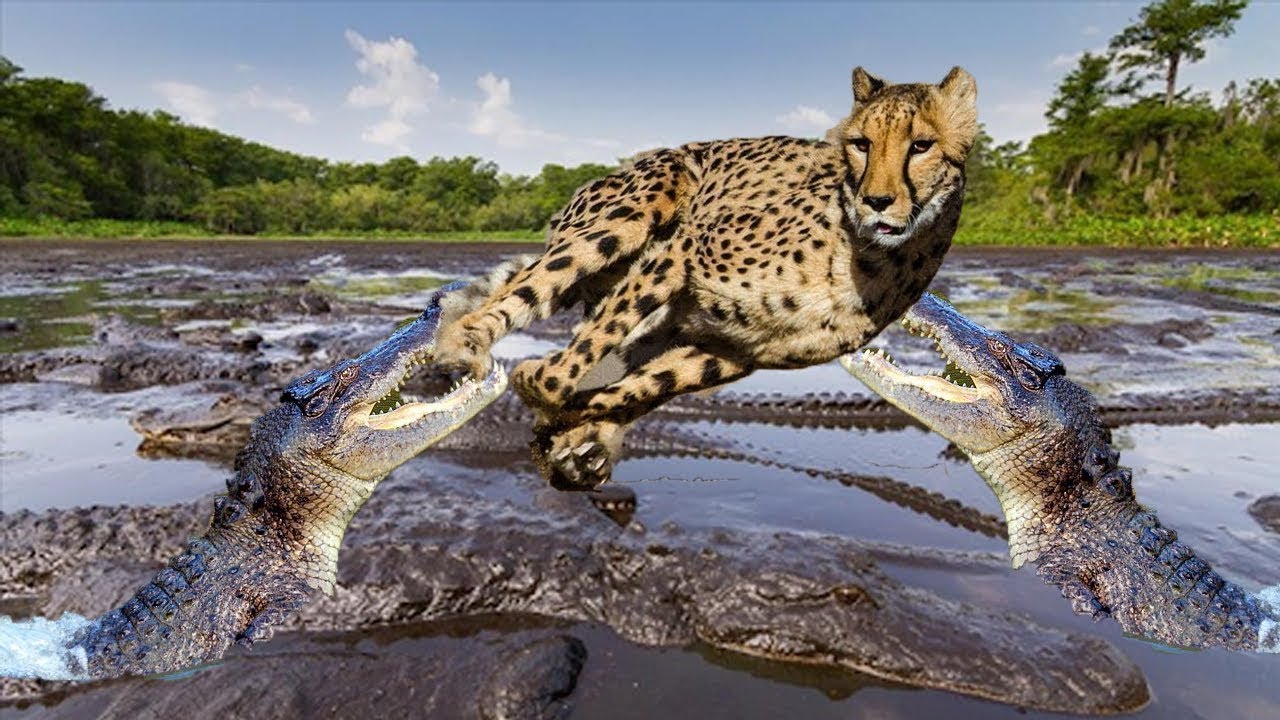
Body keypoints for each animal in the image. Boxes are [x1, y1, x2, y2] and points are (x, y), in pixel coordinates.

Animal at [435, 66, 979, 489]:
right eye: (861, 145)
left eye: (922, 146)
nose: (876, 201)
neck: (871, 256)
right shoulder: (685, 250)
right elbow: (563, 374)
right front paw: (534, 386)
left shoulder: (731, 353)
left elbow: (633, 391)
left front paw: (569, 434)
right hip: (638, 207)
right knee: (521, 293)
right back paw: (462, 346)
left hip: (661, 320)